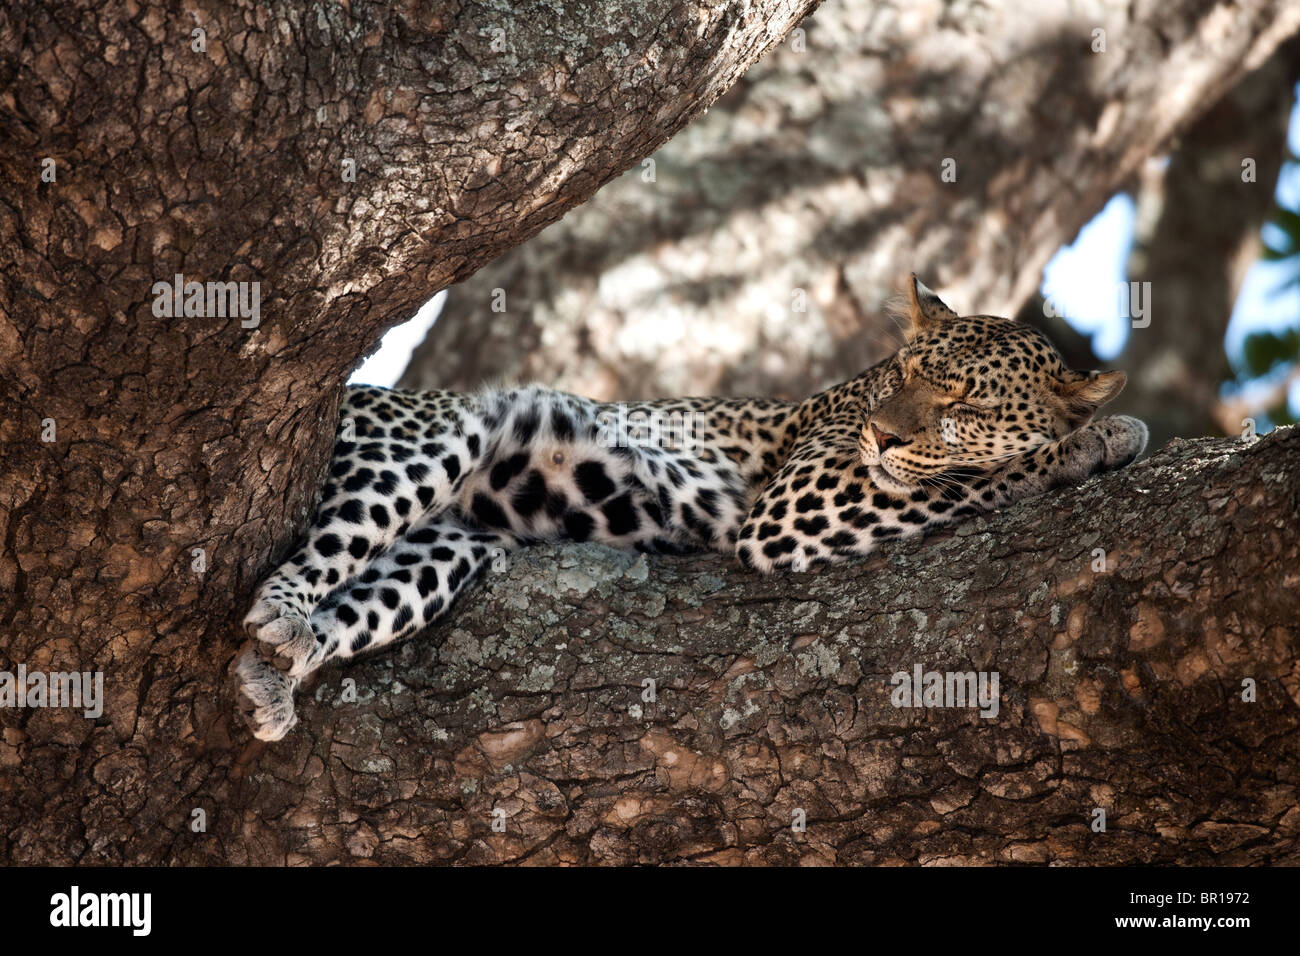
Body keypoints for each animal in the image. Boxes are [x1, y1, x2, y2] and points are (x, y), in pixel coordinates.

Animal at [235, 276, 1148, 741]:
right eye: (906, 373)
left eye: (968, 404)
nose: (883, 434)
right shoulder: (795, 503)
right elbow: (960, 478)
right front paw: (1093, 439)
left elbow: (955, 468)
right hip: (433, 434)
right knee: (306, 561)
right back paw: (281, 613)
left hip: (448, 546)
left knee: (361, 592)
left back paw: (280, 663)